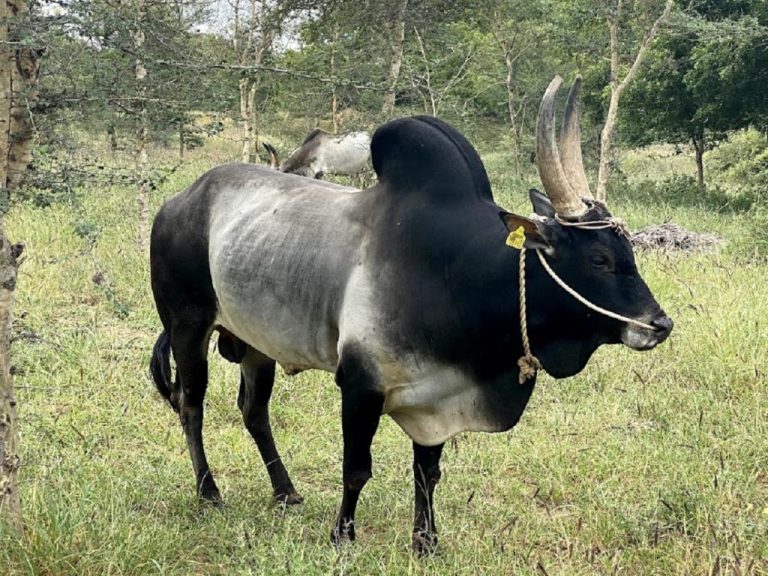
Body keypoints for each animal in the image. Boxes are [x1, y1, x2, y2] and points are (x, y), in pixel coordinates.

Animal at [149, 76, 673, 555]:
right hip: (188, 327)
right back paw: (209, 494)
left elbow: (427, 472)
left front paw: (426, 542)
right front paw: (343, 536)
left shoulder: (436, 394)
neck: (456, 274)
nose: (659, 325)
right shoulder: (360, 384)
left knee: (254, 412)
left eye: (628, 250)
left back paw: (286, 492)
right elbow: (357, 468)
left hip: (257, 345)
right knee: (191, 406)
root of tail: (179, 200)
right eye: (599, 260)